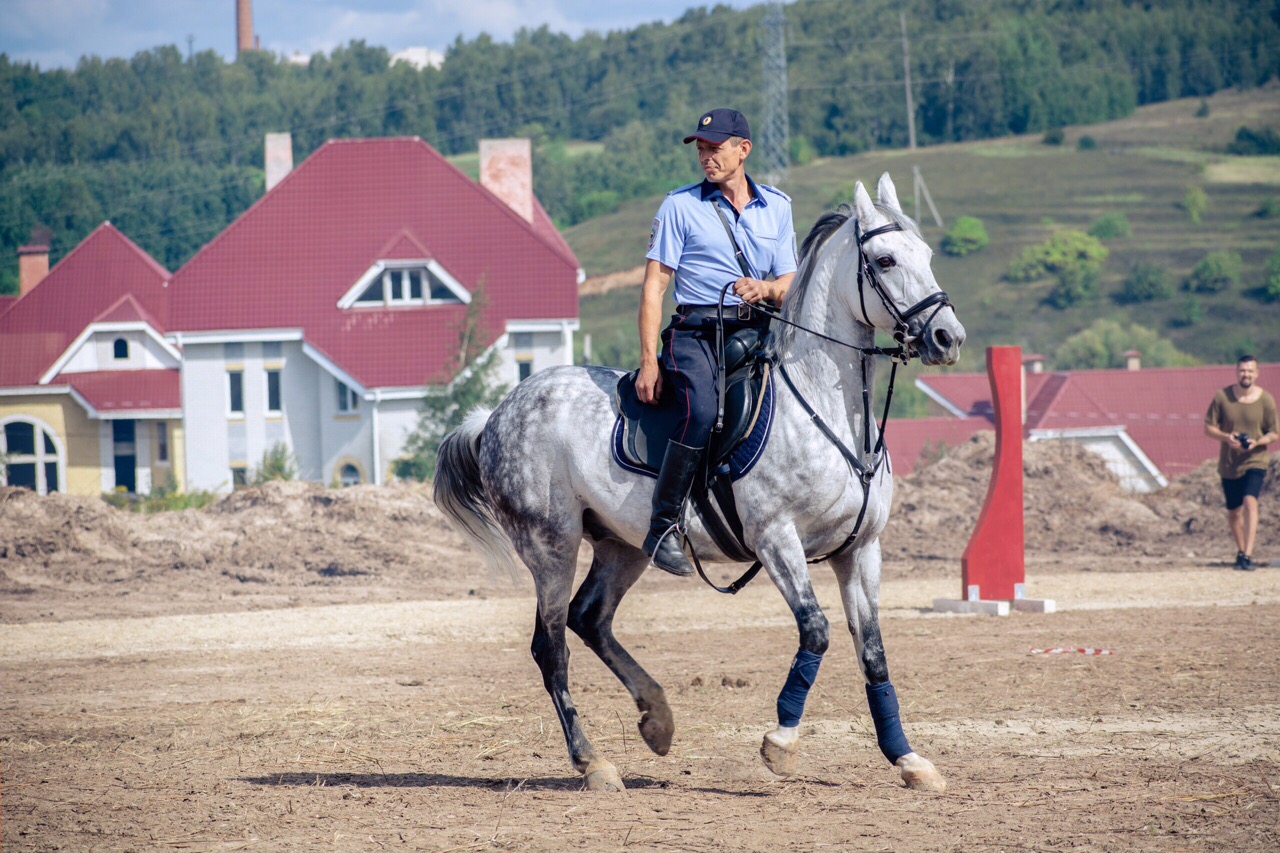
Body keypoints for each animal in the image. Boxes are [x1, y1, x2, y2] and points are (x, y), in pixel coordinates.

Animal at [435, 172, 962, 788]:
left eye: (926, 255)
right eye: (884, 260)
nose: (948, 337)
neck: (829, 411)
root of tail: (496, 413)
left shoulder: (860, 549)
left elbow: (872, 651)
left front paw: (908, 758)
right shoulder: (777, 539)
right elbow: (816, 630)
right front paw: (780, 742)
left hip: (621, 545)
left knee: (591, 618)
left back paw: (656, 718)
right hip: (551, 546)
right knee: (552, 647)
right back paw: (594, 762)